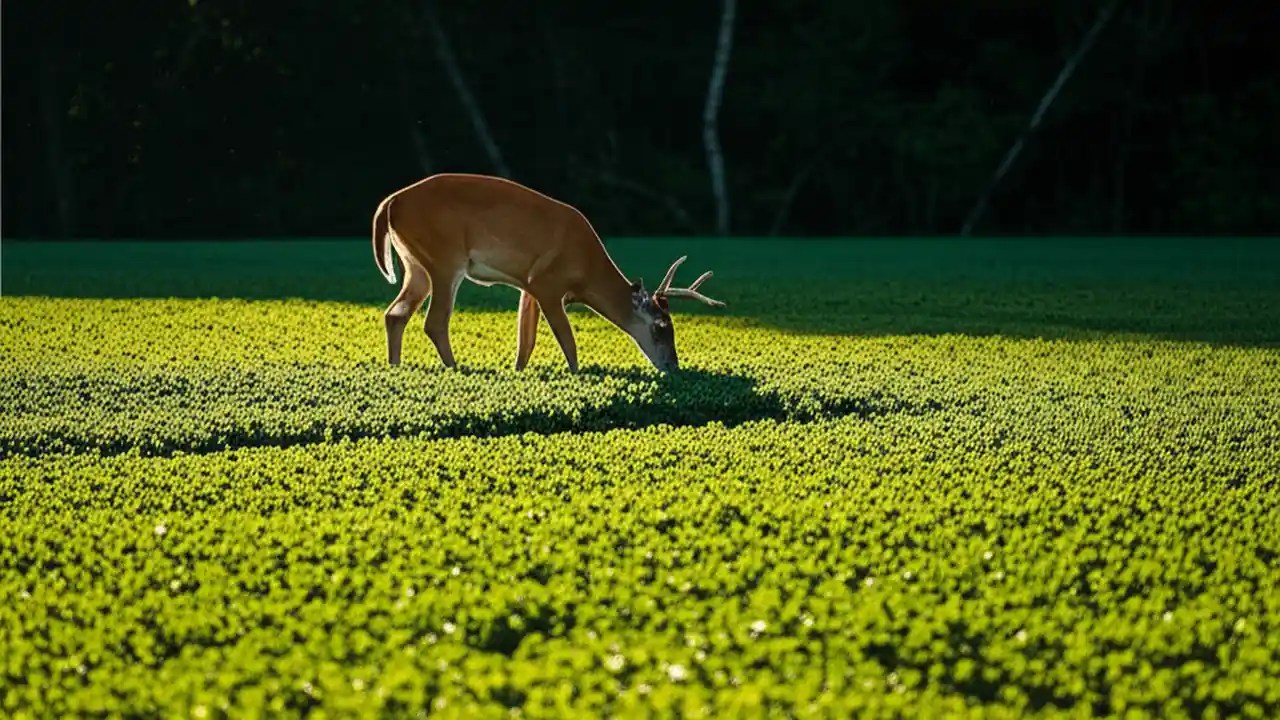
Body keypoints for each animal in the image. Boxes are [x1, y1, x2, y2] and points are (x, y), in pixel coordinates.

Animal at [370, 173, 725, 373]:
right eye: (661, 327)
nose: (673, 366)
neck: (586, 272)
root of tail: (389, 202)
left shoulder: (528, 285)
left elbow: (525, 341)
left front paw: (518, 374)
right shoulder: (548, 283)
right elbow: (566, 338)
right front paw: (576, 374)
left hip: (415, 263)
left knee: (395, 314)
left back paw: (395, 367)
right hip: (445, 256)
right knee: (434, 321)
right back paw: (455, 369)